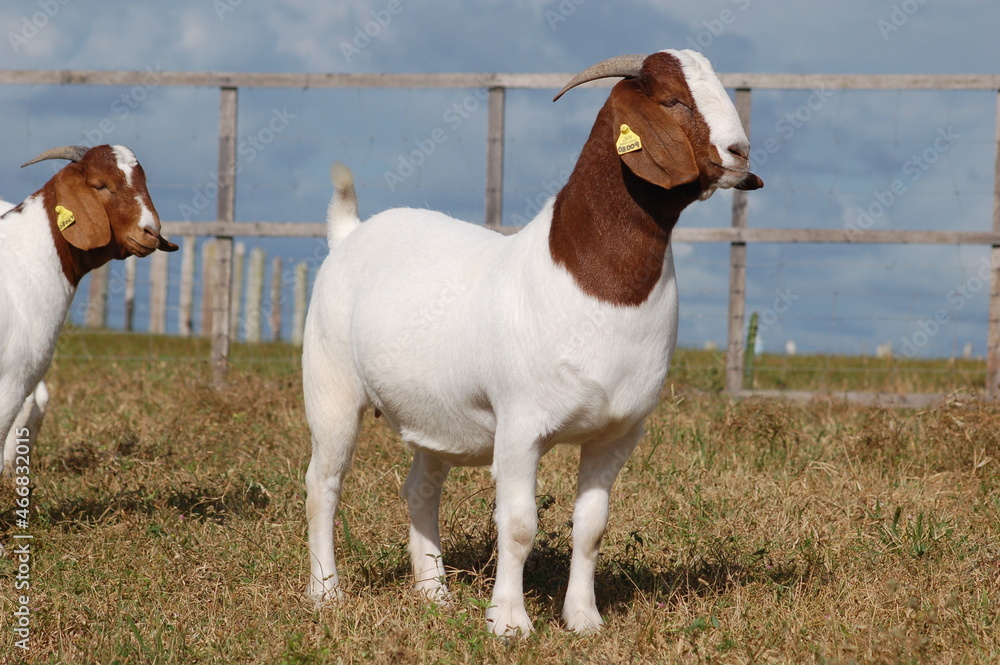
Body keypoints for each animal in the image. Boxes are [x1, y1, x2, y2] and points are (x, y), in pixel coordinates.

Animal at [302, 49, 762, 636]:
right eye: (672, 99)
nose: (740, 153)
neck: (588, 279)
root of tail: (349, 233)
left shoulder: (618, 433)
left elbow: (591, 526)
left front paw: (584, 618)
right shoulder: (520, 426)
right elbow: (519, 524)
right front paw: (509, 622)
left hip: (433, 412)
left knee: (420, 489)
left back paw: (434, 594)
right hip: (331, 387)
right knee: (323, 483)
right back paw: (326, 594)